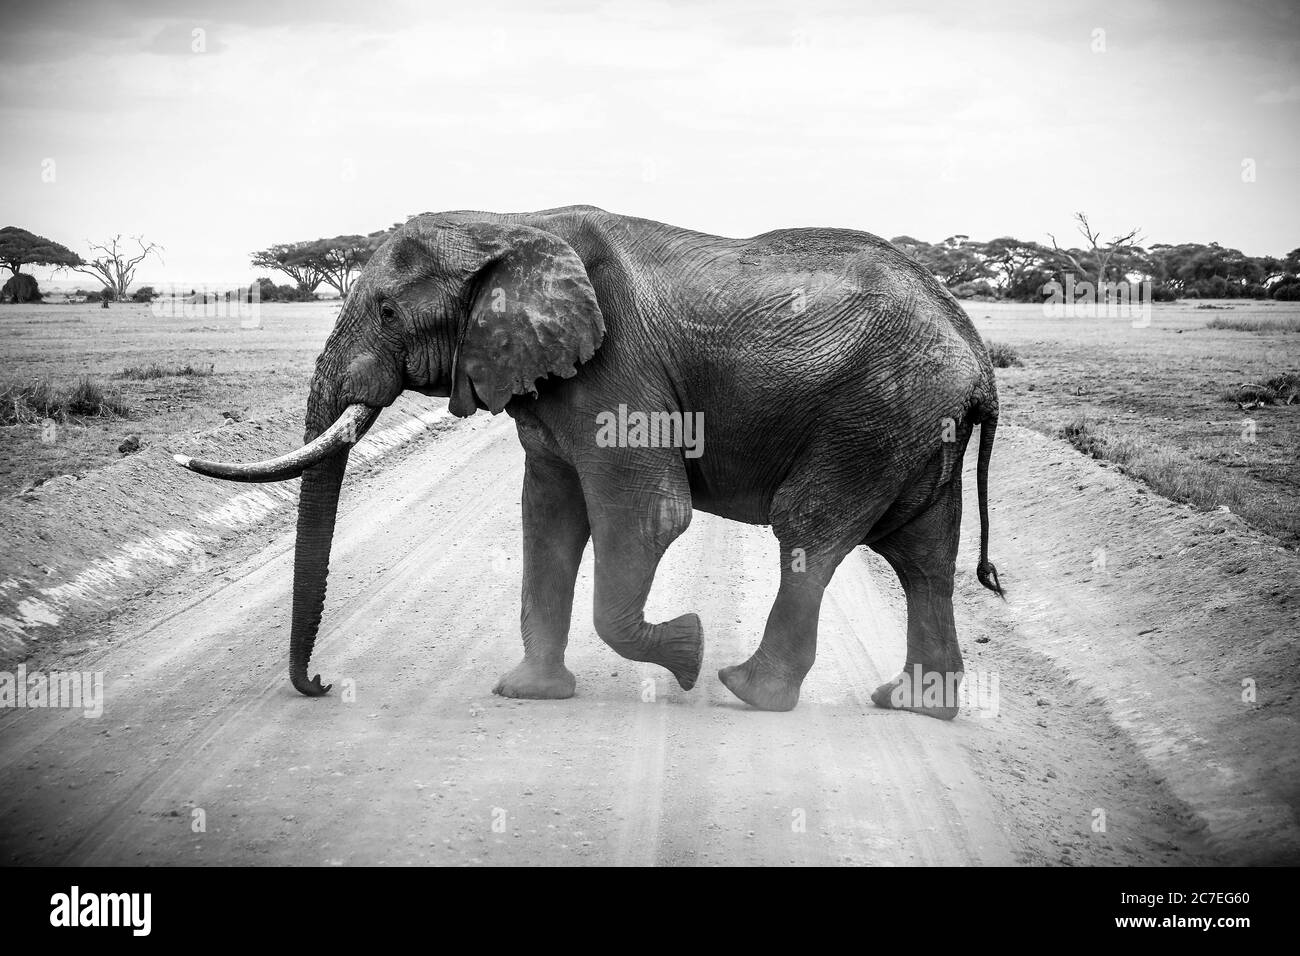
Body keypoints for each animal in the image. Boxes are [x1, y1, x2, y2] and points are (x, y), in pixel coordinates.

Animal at [175, 205, 1003, 718]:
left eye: (384, 311)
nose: (320, 683)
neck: (508, 224)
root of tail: (977, 356)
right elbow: (547, 516)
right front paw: (527, 694)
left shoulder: (616, 371)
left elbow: (648, 515)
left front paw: (687, 651)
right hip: (912, 427)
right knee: (924, 560)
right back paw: (912, 707)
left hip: (871, 417)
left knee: (811, 532)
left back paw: (743, 688)